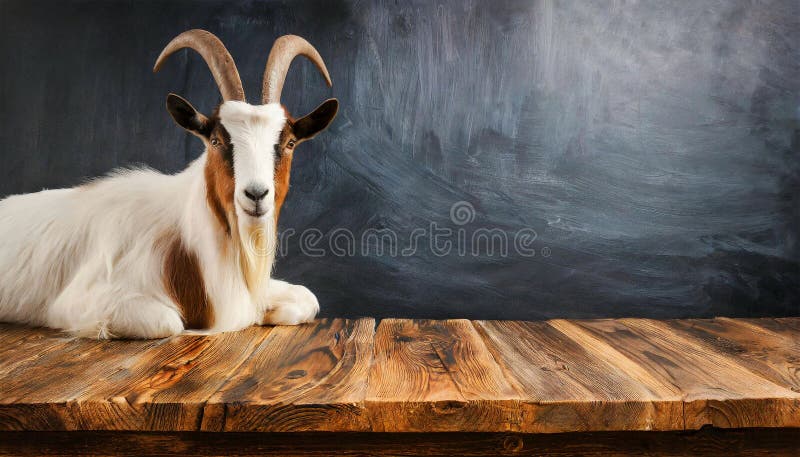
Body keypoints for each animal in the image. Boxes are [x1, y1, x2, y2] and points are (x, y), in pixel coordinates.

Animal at [0, 30, 338, 339]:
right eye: (215, 140)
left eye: (290, 143)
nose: (256, 195)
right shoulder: (77, 301)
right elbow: (169, 322)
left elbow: (308, 298)